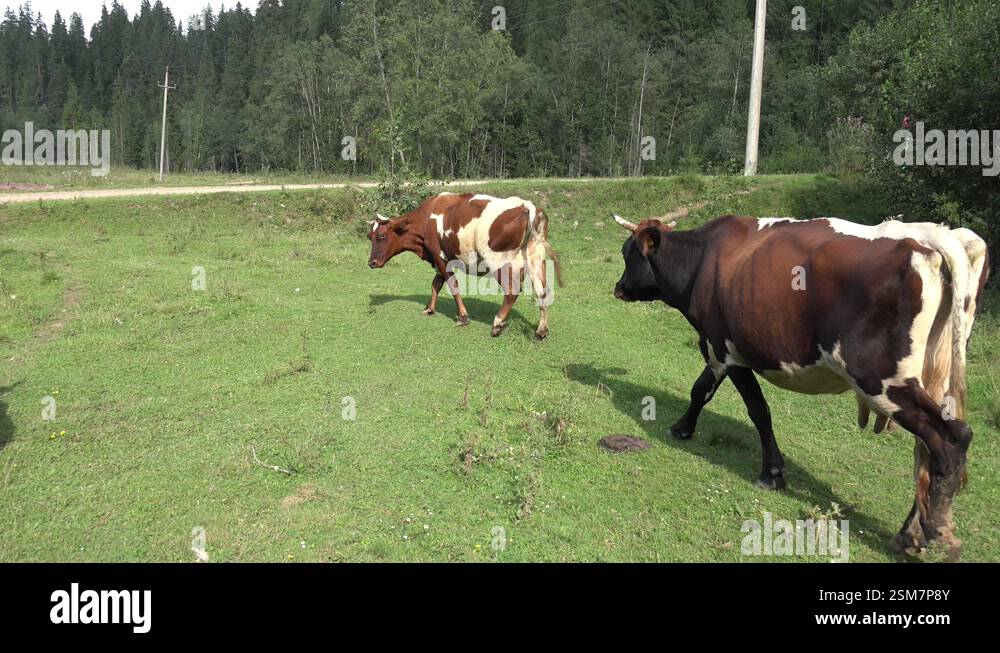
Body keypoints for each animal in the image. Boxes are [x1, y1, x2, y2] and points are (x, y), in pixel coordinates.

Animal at [368, 192, 562, 339]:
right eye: (370, 236)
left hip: (498, 261)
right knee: (542, 291)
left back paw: (497, 323)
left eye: (381, 236)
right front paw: (429, 308)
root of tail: (525, 205)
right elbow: (436, 284)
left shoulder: (439, 257)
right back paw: (541, 330)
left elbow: (452, 285)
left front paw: (462, 316)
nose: (371, 262)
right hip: (536, 258)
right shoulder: (440, 258)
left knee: (512, 290)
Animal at [612, 213, 988, 557]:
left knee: (951, 439)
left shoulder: (725, 348)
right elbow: (701, 390)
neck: (701, 259)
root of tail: (931, 235)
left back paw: (934, 526)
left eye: (627, 254)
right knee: (927, 450)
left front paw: (772, 473)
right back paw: (909, 532)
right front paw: (683, 427)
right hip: (932, 378)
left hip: (881, 379)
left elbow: (754, 409)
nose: (618, 287)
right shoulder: (720, 351)